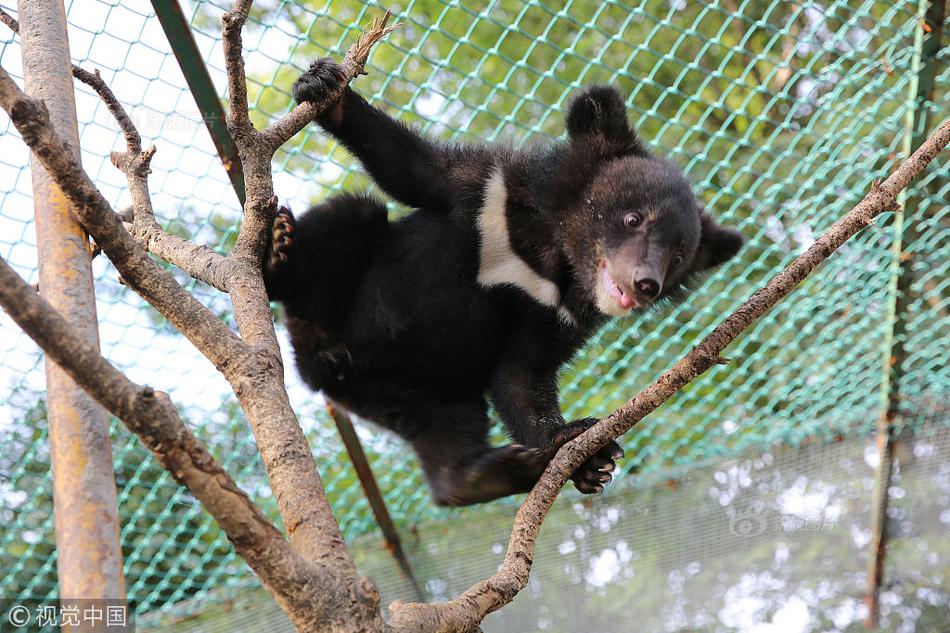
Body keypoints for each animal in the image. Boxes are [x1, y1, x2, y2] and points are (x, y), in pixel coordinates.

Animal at [266, 56, 744, 506]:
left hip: (412, 388)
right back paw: (277, 249)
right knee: (349, 215)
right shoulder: (487, 187)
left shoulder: (558, 313)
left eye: (677, 258)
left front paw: (587, 454)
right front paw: (322, 84)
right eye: (633, 219)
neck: (551, 255)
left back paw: (489, 473)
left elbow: (522, 374)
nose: (646, 284)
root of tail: (321, 365)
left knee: (445, 431)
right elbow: (413, 168)